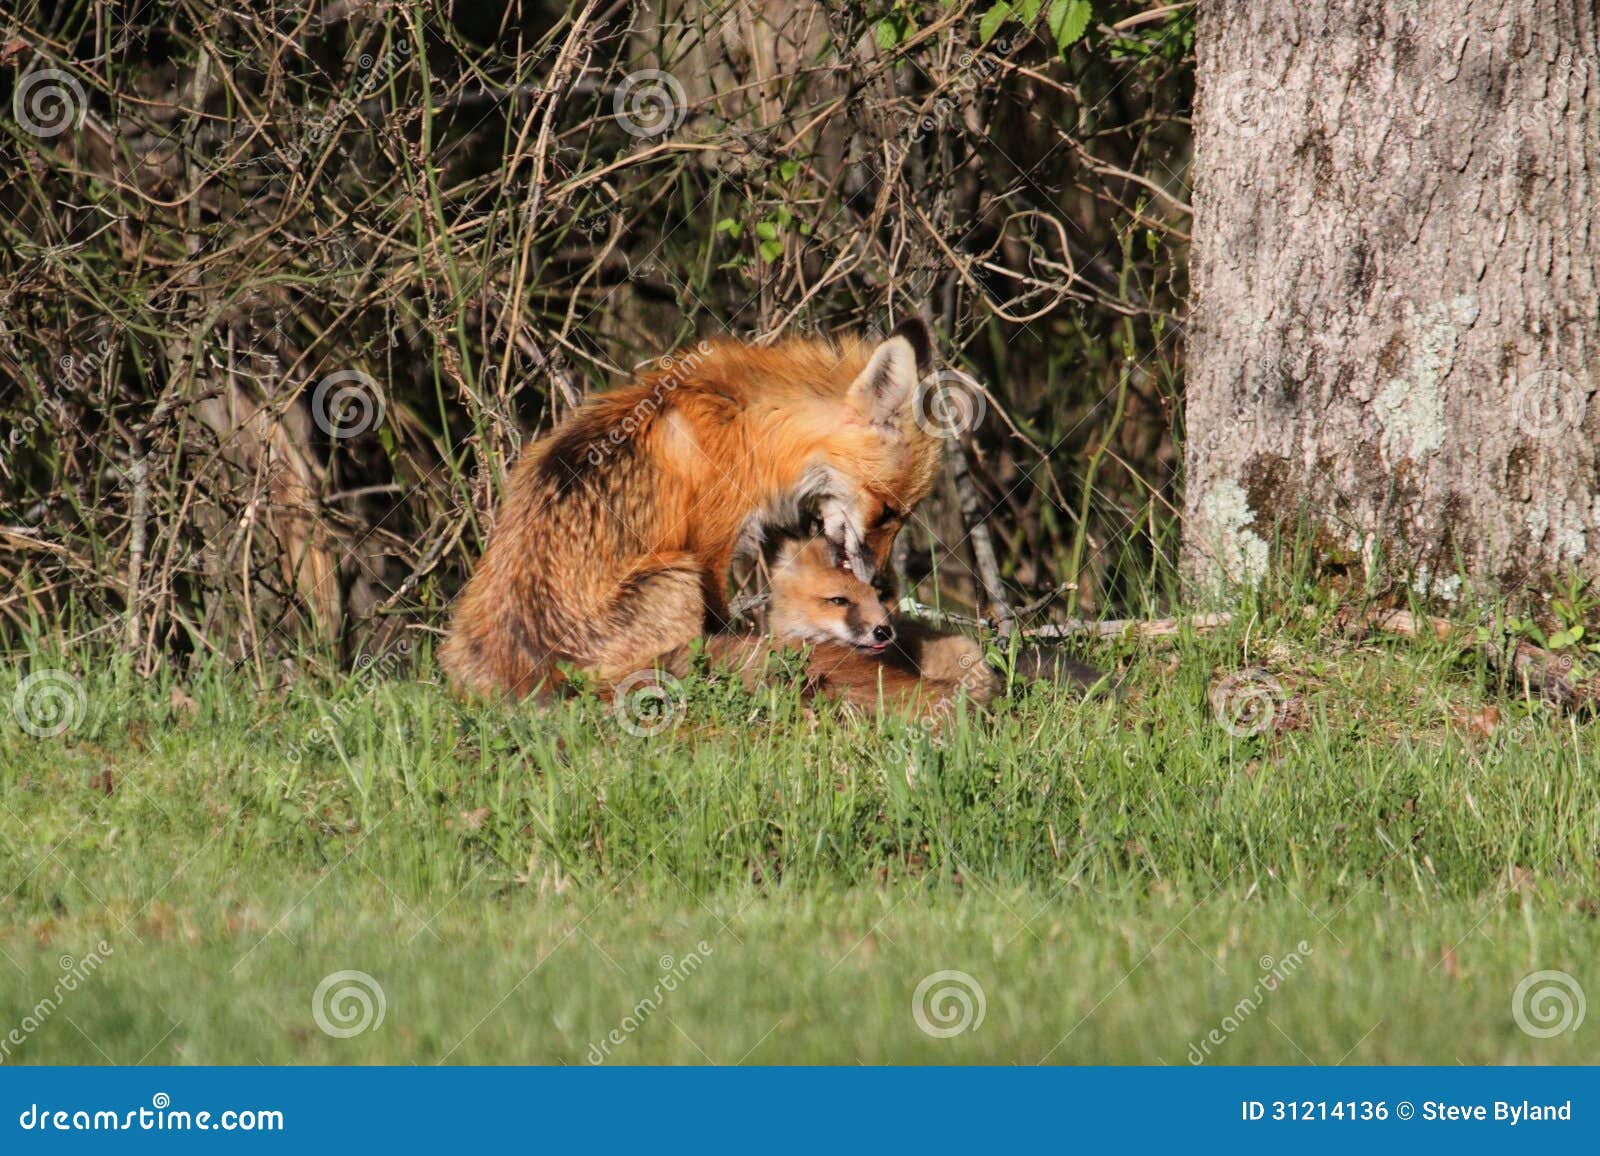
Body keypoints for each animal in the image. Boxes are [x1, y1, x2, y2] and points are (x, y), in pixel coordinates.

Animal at [440, 320, 943, 699]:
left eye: (904, 513)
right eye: (888, 511)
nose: (877, 582)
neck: (753, 423)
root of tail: (523, 680)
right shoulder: (709, 546)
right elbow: (721, 624)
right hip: (676, 575)